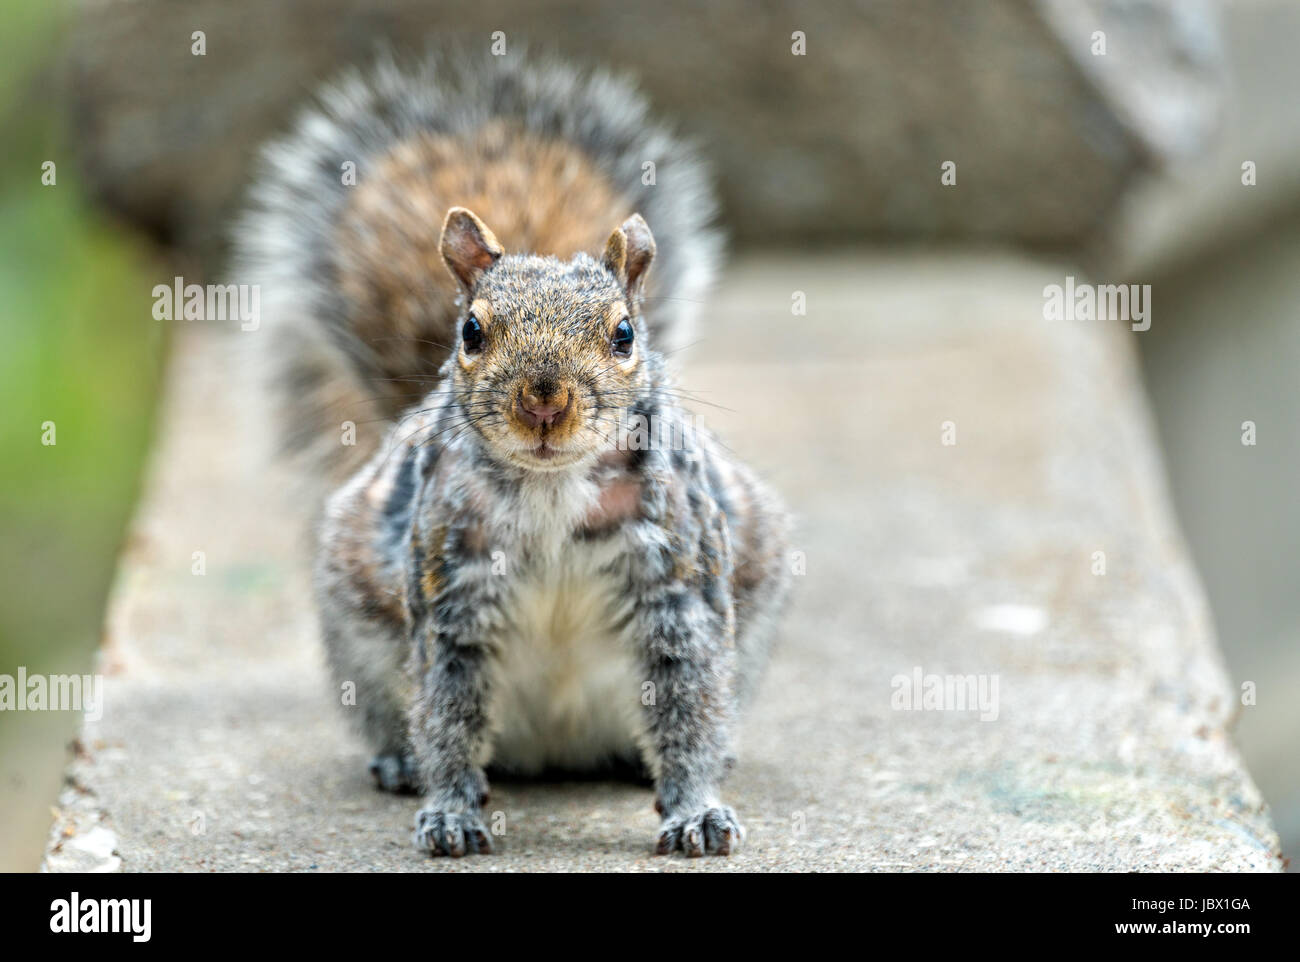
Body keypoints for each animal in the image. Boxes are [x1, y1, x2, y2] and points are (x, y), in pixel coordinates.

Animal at [236, 52, 791, 857]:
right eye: (471, 330)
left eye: (625, 334)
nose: (544, 402)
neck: (550, 485)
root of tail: (556, 752)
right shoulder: (451, 583)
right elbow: (449, 711)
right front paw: (449, 810)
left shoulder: (677, 578)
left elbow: (687, 702)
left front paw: (695, 809)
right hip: (358, 630)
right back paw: (400, 761)